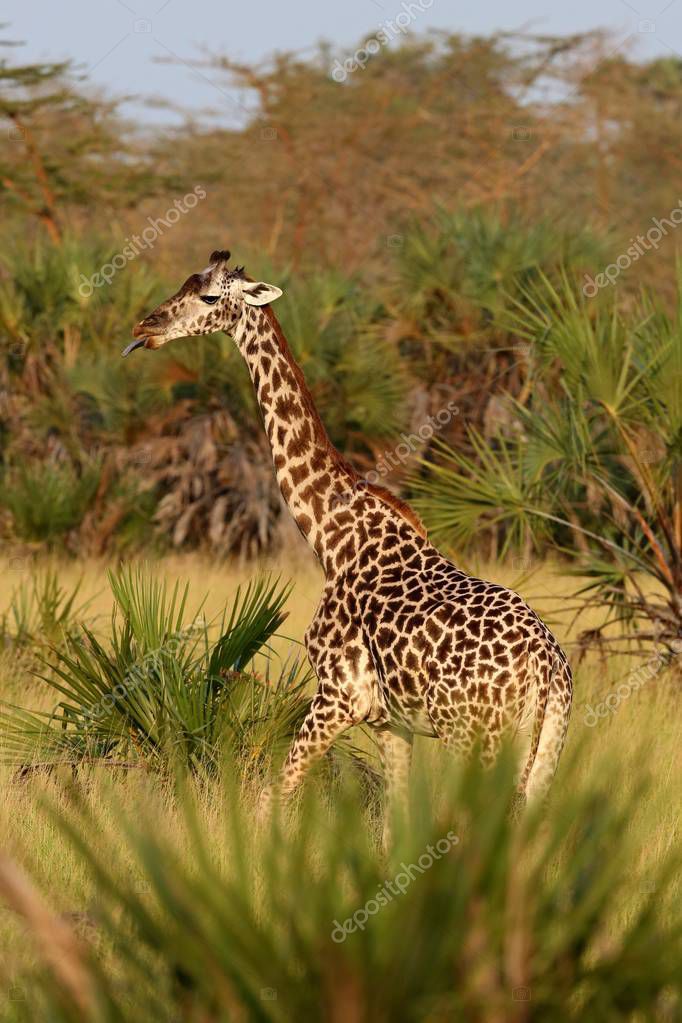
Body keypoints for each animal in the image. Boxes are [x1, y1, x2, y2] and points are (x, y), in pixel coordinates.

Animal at [126, 250, 573, 834]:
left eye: (208, 296)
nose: (144, 328)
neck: (330, 535)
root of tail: (546, 670)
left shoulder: (336, 697)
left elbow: (272, 796)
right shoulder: (390, 722)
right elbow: (397, 822)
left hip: (474, 736)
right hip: (543, 745)